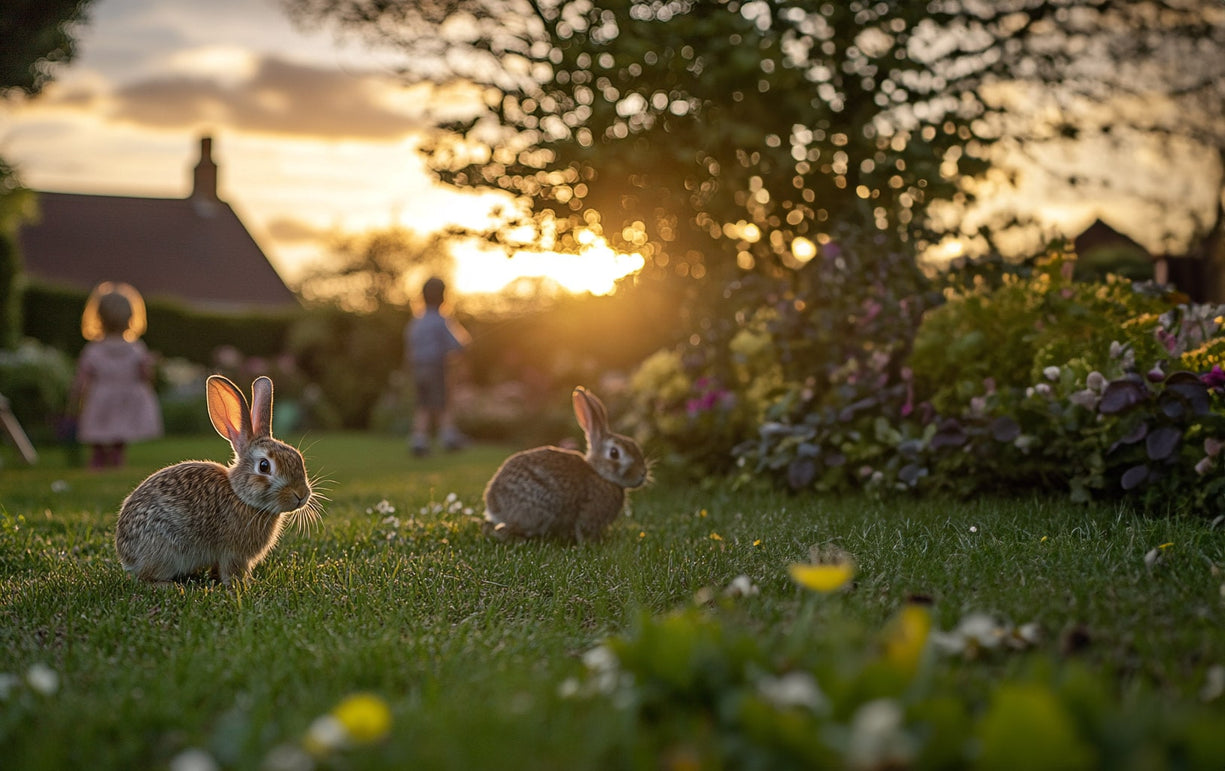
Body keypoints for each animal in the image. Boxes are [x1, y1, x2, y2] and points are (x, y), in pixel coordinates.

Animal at [115, 375, 317, 585]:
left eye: (298, 457)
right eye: (264, 466)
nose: (301, 495)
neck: (241, 497)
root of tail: (126, 556)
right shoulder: (233, 553)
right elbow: (232, 570)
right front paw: (241, 585)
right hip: (165, 549)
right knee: (145, 577)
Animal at [483, 386, 648, 542]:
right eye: (614, 453)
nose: (642, 474)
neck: (600, 475)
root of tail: (493, 502)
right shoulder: (587, 513)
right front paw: (588, 542)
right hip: (537, 510)